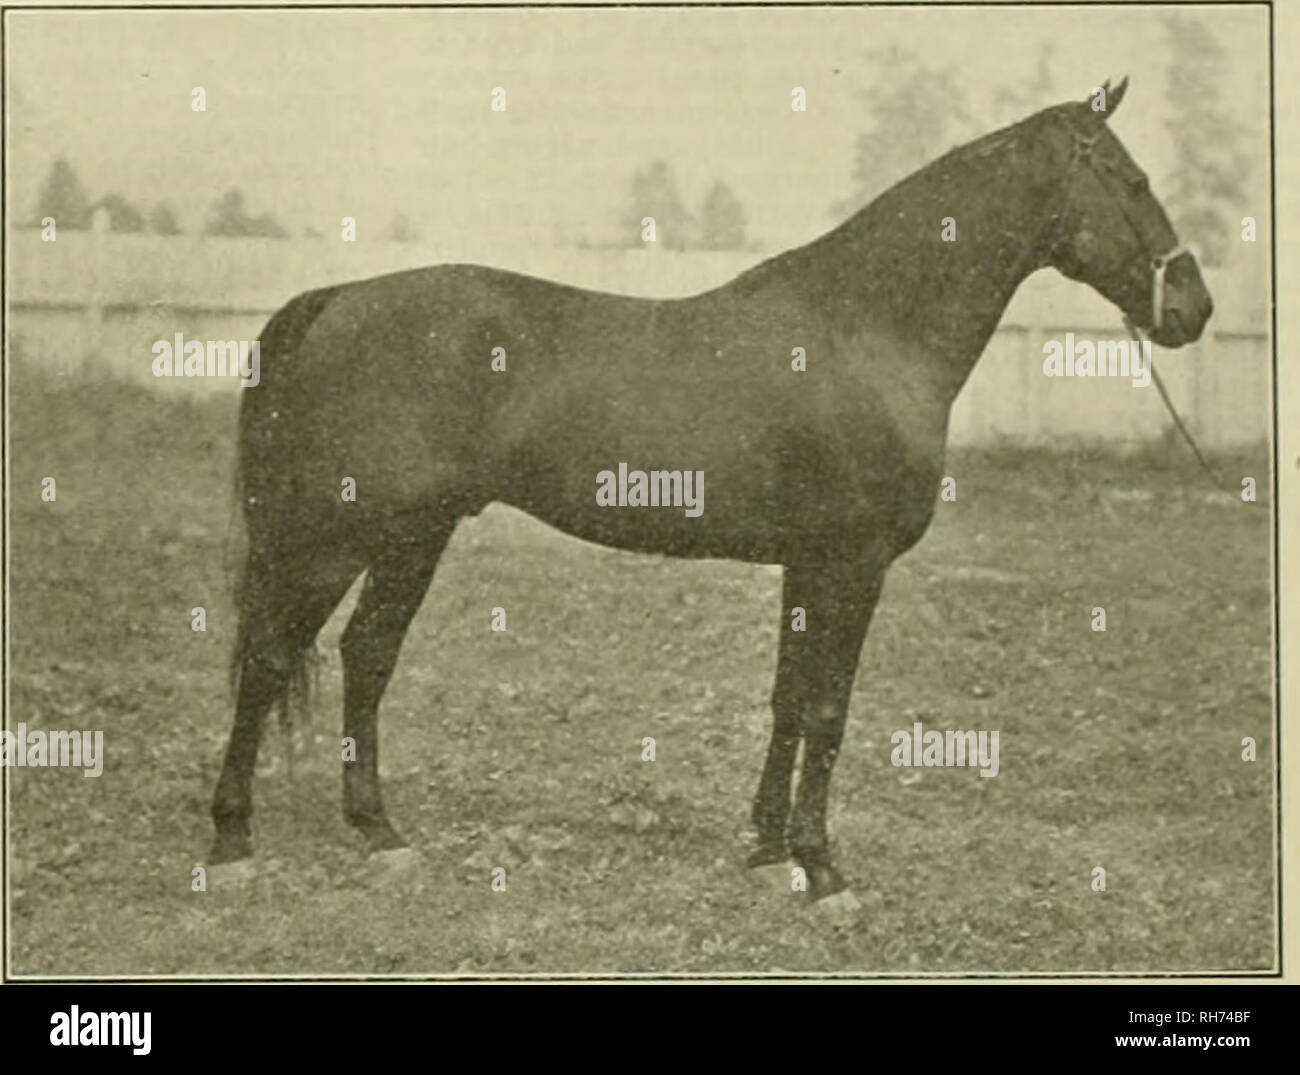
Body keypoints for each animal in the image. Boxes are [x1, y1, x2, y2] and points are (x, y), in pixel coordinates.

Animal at [210, 78, 1213, 905]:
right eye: (1130, 179)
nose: (1194, 307)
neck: (867, 328)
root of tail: (337, 300)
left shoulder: (809, 564)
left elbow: (788, 699)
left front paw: (770, 852)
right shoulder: (853, 564)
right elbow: (828, 708)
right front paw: (825, 871)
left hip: (412, 535)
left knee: (365, 656)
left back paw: (380, 833)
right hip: (335, 535)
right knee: (269, 657)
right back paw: (231, 844)